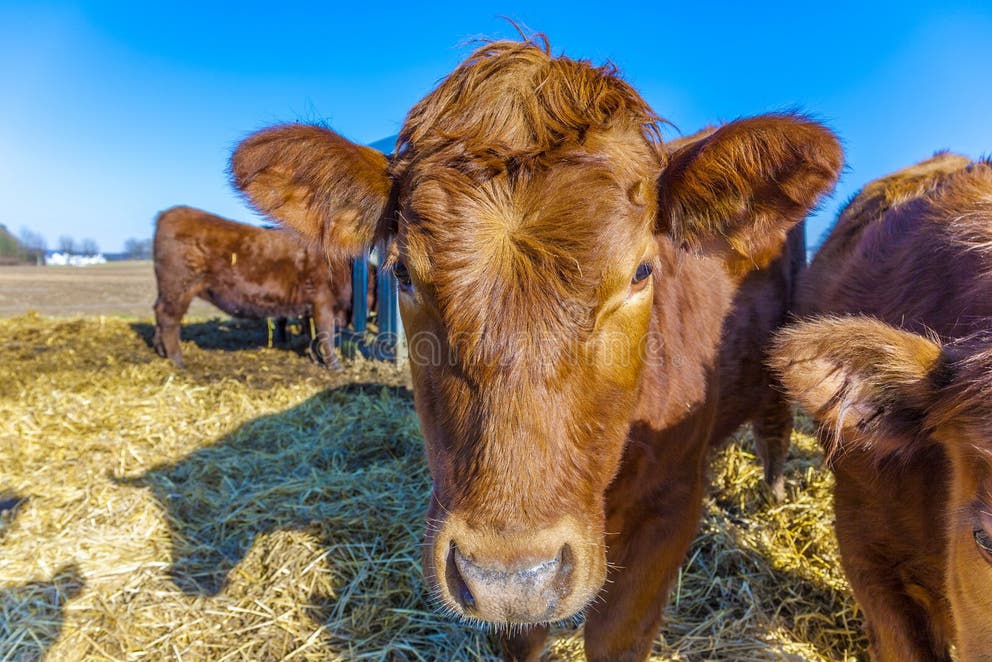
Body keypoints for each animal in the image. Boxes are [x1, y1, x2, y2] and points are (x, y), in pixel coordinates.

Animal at [152, 205, 352, 368]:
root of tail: (167, 213)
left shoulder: (309, 307)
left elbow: (313, 335)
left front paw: (316, 359)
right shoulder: (323, 302)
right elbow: (326, 334)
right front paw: (335, 365)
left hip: (169, 290)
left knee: (159, 312)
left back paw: (161, 352)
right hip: (179, 286)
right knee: (169, 318)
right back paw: (177, 360)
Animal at [230, 37, 842, 661]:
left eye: (642, 271)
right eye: (402, 272)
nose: (510, 577)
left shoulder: (668, 508)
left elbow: (615, 635)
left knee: (773, 429)